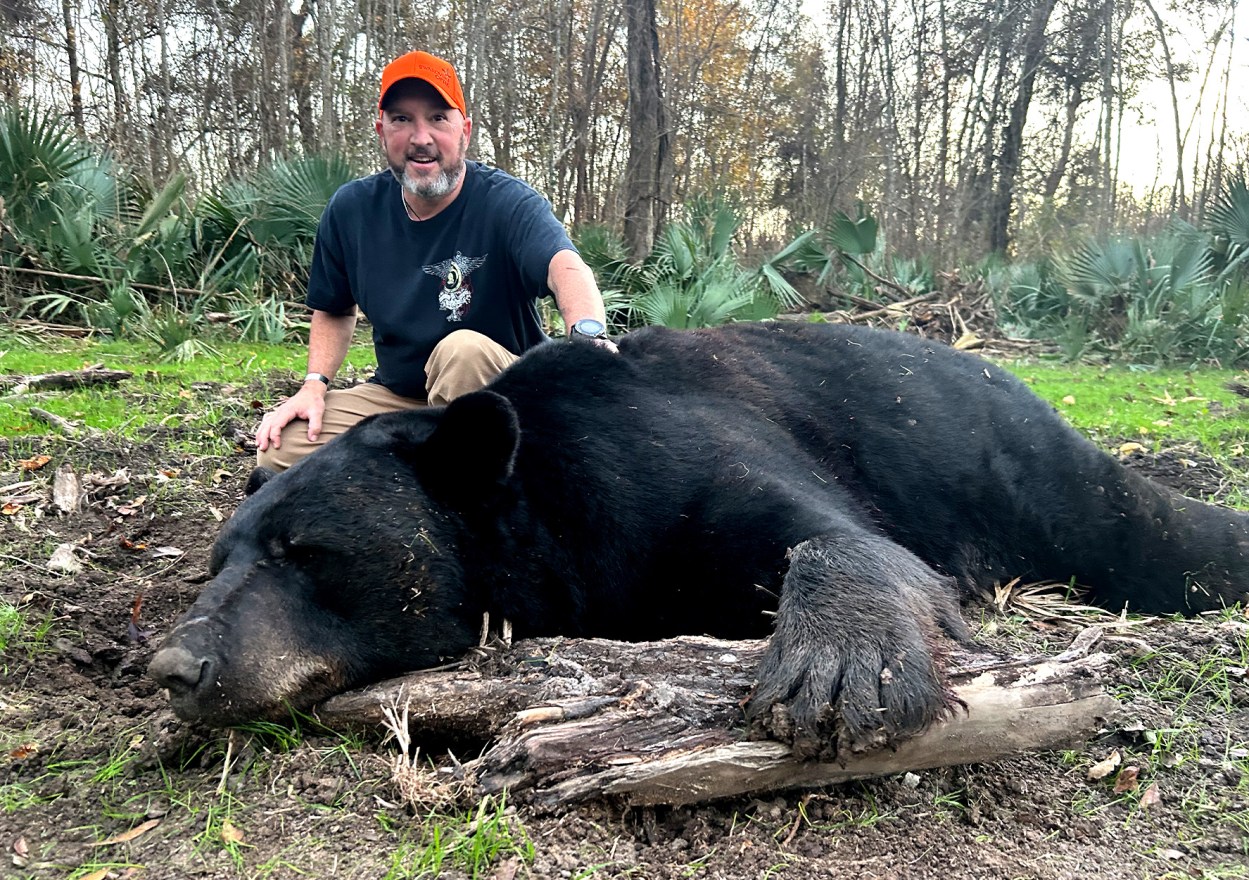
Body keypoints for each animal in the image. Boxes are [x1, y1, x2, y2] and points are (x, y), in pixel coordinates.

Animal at [150, 322, 1249, 757]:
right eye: (219, 562)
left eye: (305, 551)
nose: (175, 665)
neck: (550, 499)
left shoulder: (674, 453)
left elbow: (845, 540)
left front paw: (837, 669)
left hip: (1016, 461)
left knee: (1150, 528)